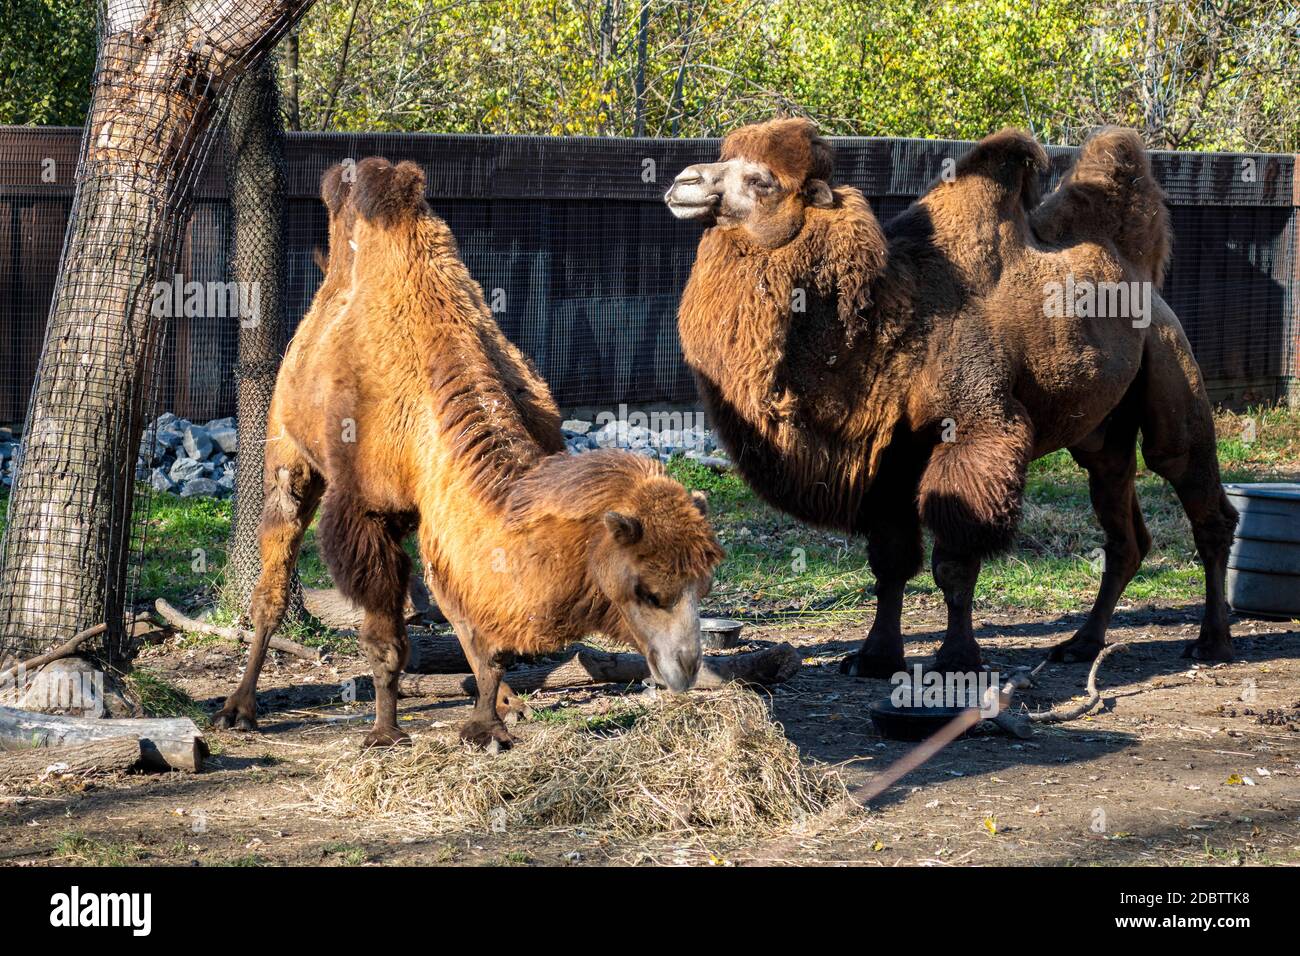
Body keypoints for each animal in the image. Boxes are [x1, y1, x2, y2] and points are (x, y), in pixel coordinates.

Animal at [216, 158, 723, 748]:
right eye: (644, 589)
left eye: (702, 584)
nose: (685, 667)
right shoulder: (366, 510)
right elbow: (385, 638)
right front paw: (386, 732)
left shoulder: (450, 508)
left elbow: (475, 622)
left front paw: (491, 721)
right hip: (288, 451)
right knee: (274, 577)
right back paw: (239, 706)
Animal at [664, 117, 1237, 676]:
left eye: (762, 180)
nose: (682, 183)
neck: (887, 327)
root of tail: (1145, 277)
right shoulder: (889, 458)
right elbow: (890, 562)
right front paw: (874, 657)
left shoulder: (978, 431)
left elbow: (954, 561)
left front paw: (957, 657)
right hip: (1102, 435)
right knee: (1123, 531)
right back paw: (1081, 644)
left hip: (1171, 367)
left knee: (1196, 493)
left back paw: (1212, 641)